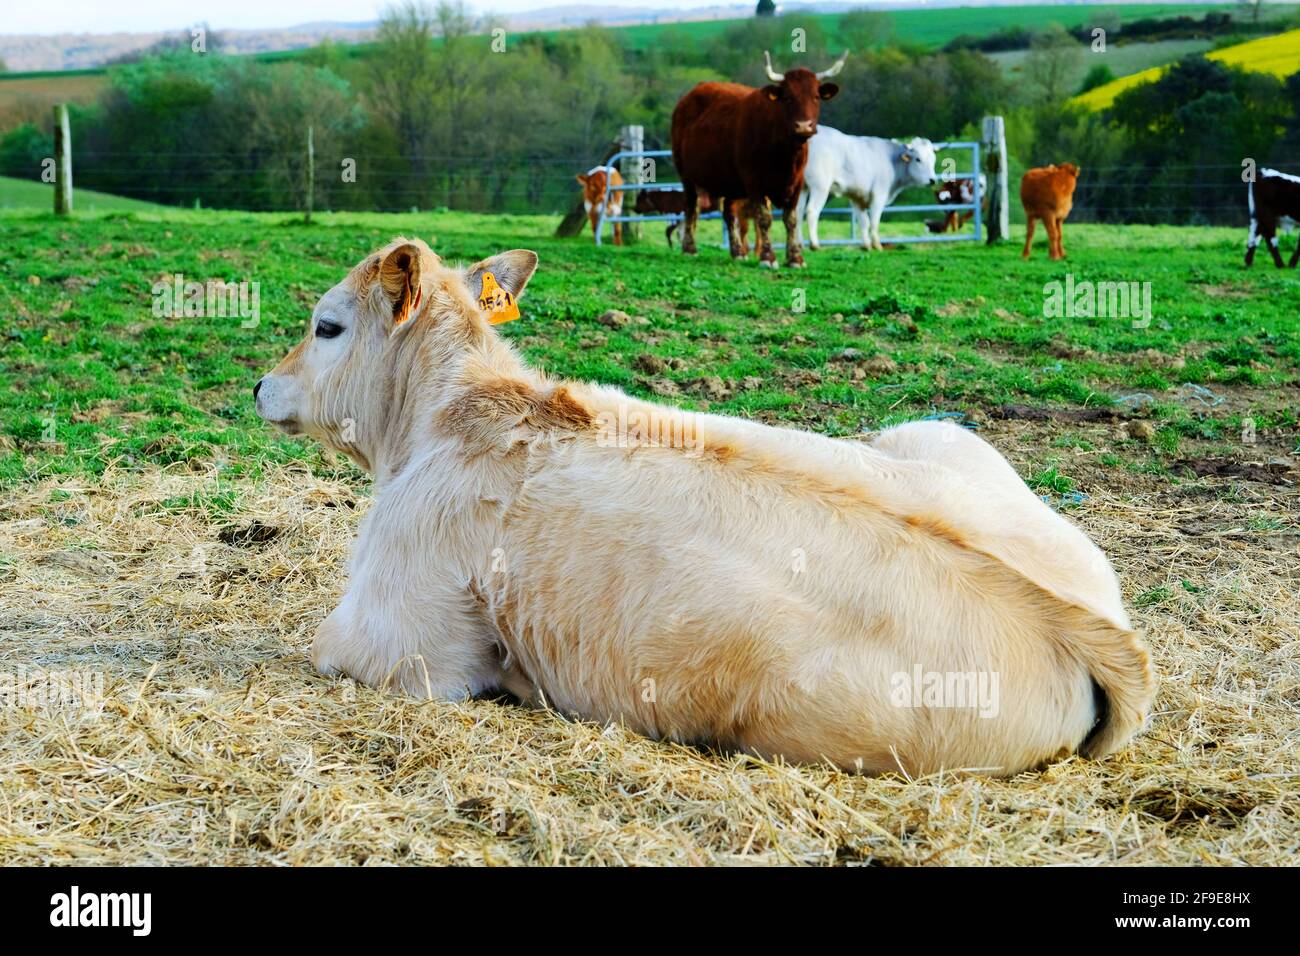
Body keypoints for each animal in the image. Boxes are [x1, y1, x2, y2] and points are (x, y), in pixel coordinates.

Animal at [253, 236, 1155, 777]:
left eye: (326, 325)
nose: (261, 384)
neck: (441, 415)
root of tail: (1098, 629)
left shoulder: (402, 640)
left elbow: (326, 642)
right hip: (936, 433)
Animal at [671, 50, 847, 268]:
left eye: (815, 96)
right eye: (787, 97)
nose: (803, 126)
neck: (784, 154)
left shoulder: (796, 183)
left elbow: (791, 219)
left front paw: (795, 257)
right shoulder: (754, 182)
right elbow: (764, 218)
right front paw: (768, 257)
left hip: (729, 180)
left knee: (729, 213)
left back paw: (737, 252)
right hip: (687, 176)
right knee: (691, 207)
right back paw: (689, 248)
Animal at [795, 130, 939, 251]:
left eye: (933, 159)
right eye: (918, 159)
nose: (932, 180)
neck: (892, 161)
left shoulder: (856, 198)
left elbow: (864, 222)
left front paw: (866, 246)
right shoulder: (879, 195)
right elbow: (874, 221)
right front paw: (877, 245)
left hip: (802, 188)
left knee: (798, 212)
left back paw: (800, 244)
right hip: (820, 187)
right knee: (812, 211)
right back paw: (814, 244)